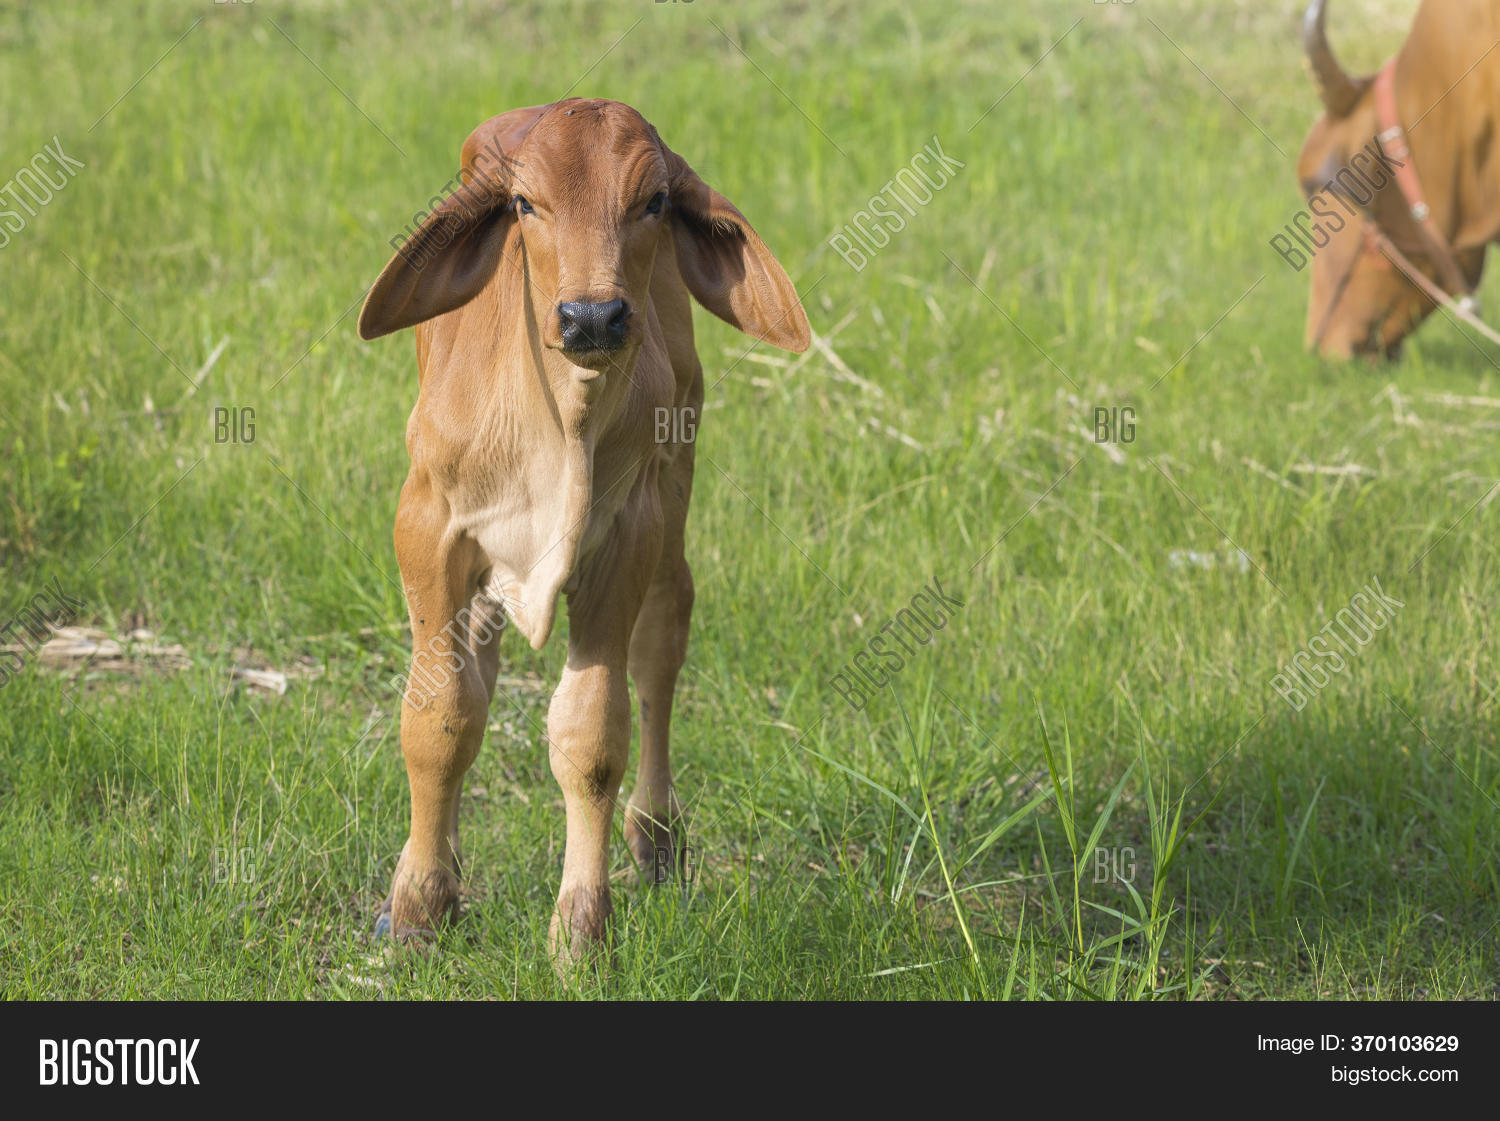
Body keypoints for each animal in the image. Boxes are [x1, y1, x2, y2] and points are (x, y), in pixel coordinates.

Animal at [357, 99, 811, 966]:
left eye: (654, 201)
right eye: (524, 204)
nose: (592, 316)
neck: (558, 427)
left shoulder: (627, 536)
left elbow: (591, 737)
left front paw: (581, 928)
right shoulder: (426, 524)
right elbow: (441, 718)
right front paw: (420, 902)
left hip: (675, 484)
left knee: (662, 640)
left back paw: (658, 840)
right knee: (480, 669)